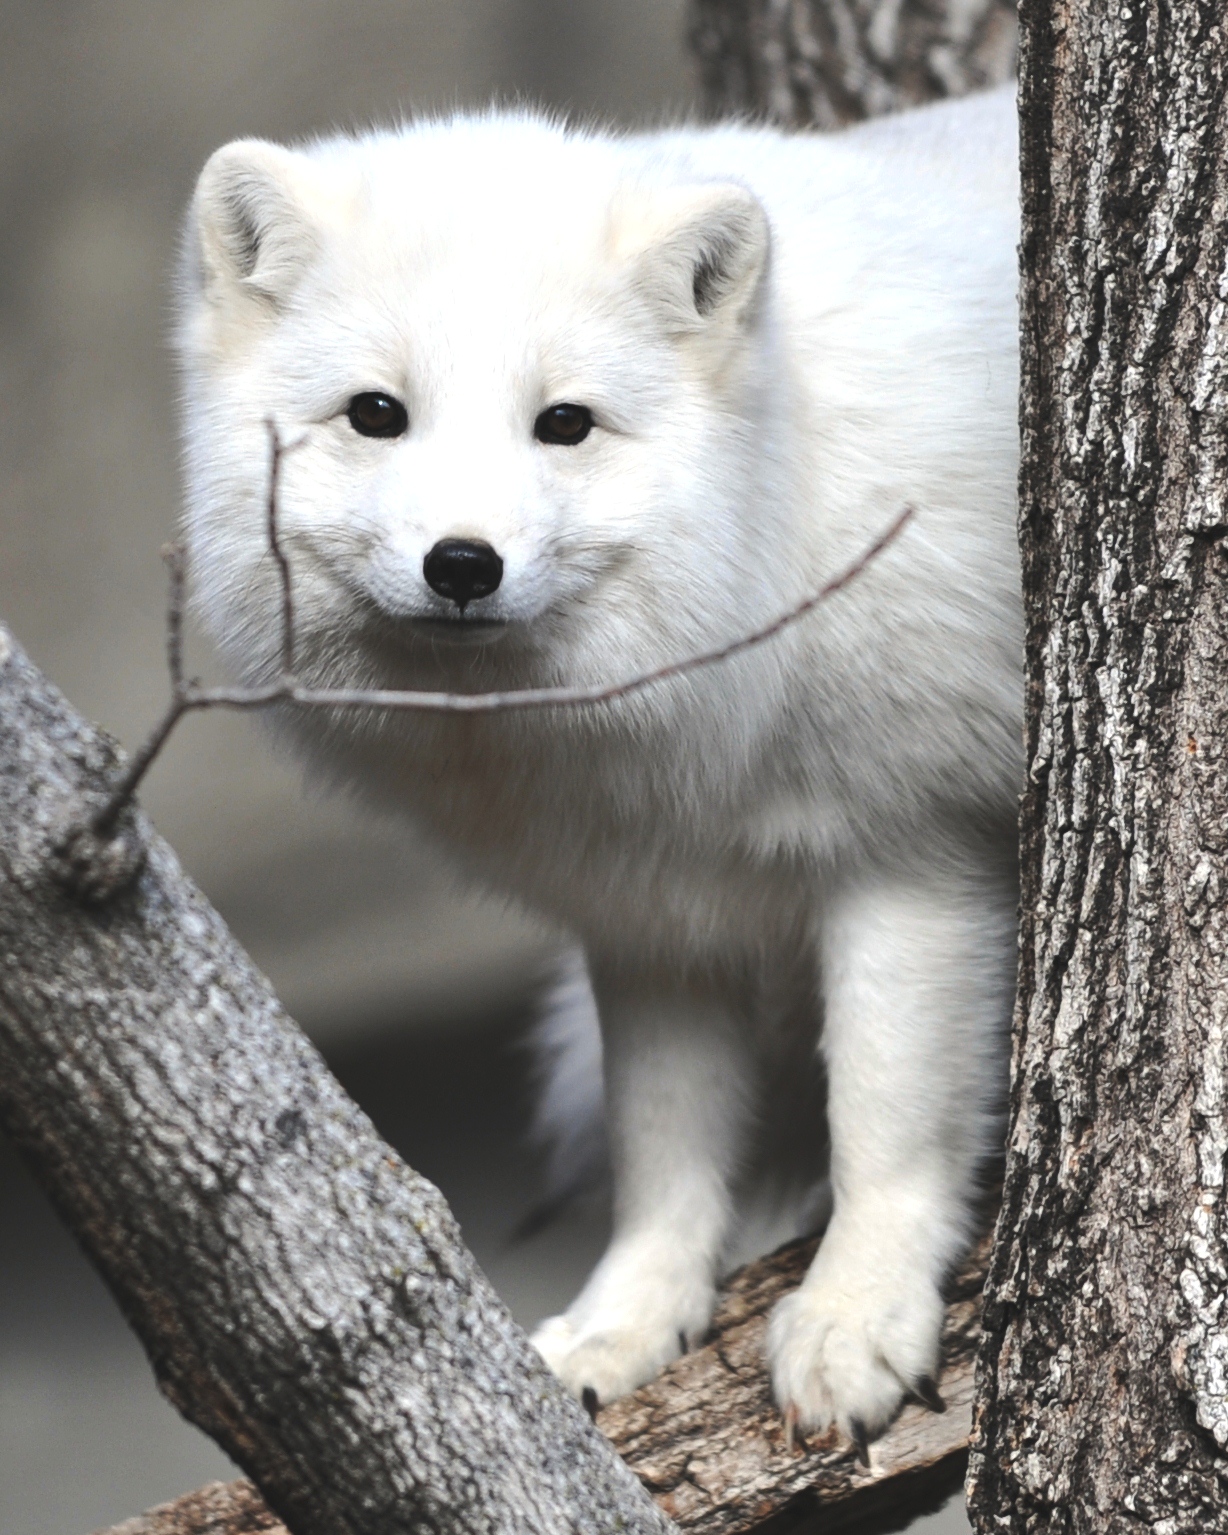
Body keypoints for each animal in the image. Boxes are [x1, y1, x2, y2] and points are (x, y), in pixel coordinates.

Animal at [176, 84, 1022, 1447]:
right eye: (376, 413)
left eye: (563, 424)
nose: (462, 564)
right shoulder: (647, 908)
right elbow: (663, 1152)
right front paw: (621, 1327)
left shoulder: (916, 851)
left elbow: (885, 1122)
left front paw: (854, 1317)